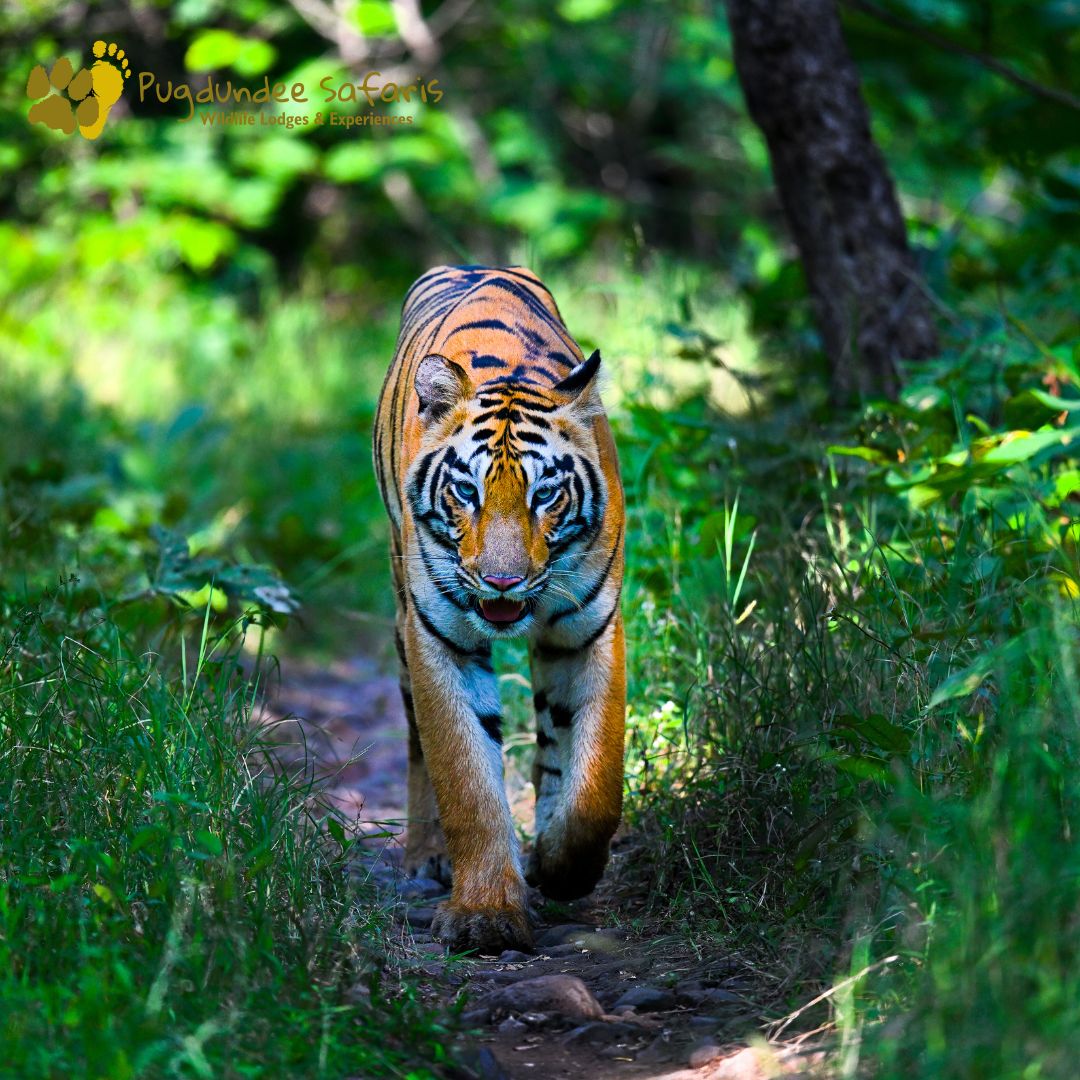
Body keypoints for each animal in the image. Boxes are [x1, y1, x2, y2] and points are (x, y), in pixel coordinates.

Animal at [373, 265, 626, 953]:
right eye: (467, 492)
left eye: (545, 494)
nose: (503, 581)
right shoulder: (439, 639)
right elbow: (466, 780)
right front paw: (486, 915)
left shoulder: (590, 629)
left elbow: (596, 781)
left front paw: (563, 869)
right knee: (416, 742)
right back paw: (427, 859)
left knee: (551, 734)